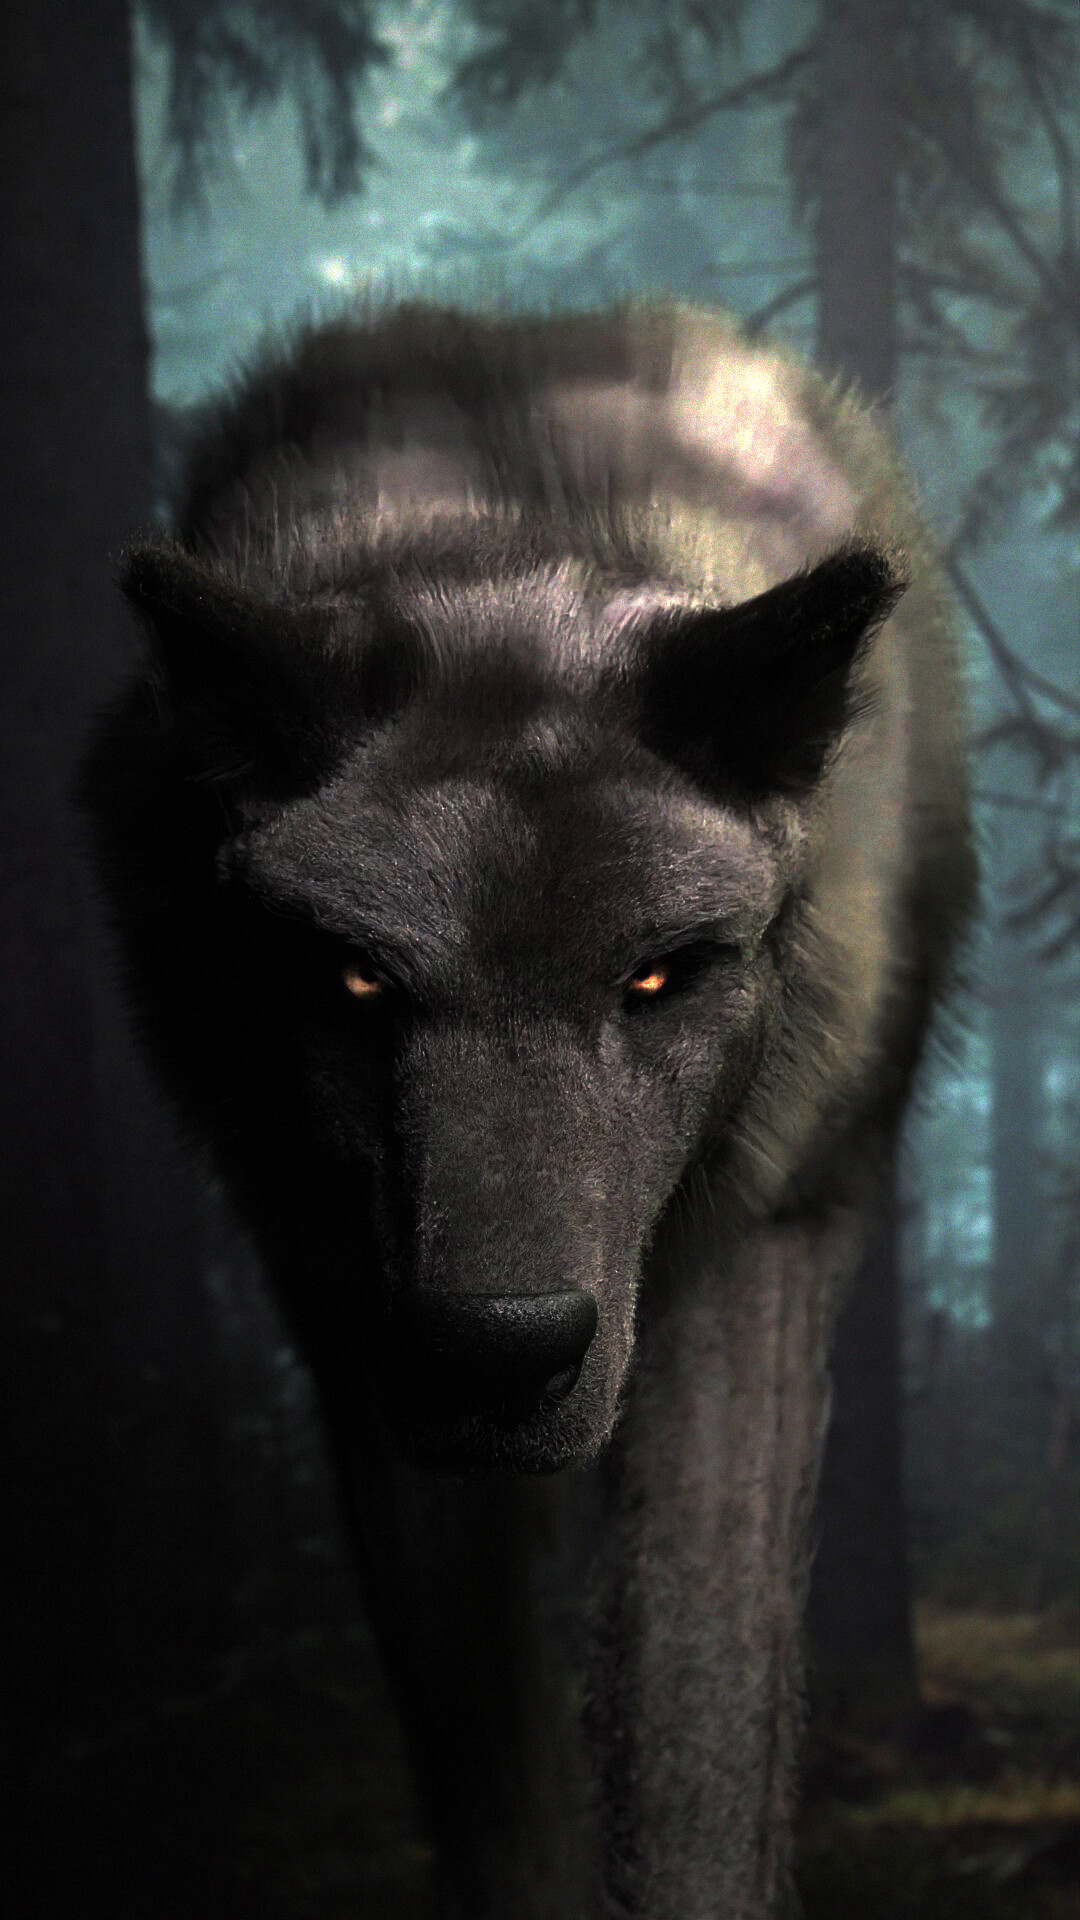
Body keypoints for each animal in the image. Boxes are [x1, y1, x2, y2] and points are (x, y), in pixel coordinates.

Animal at [82, 302, 974, 1919]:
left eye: (655, 976)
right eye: (360, 980)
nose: (500, 1348)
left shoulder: (768, 1244)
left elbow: (700, 1722)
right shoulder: (344, 1300)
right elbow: (496, 1780)